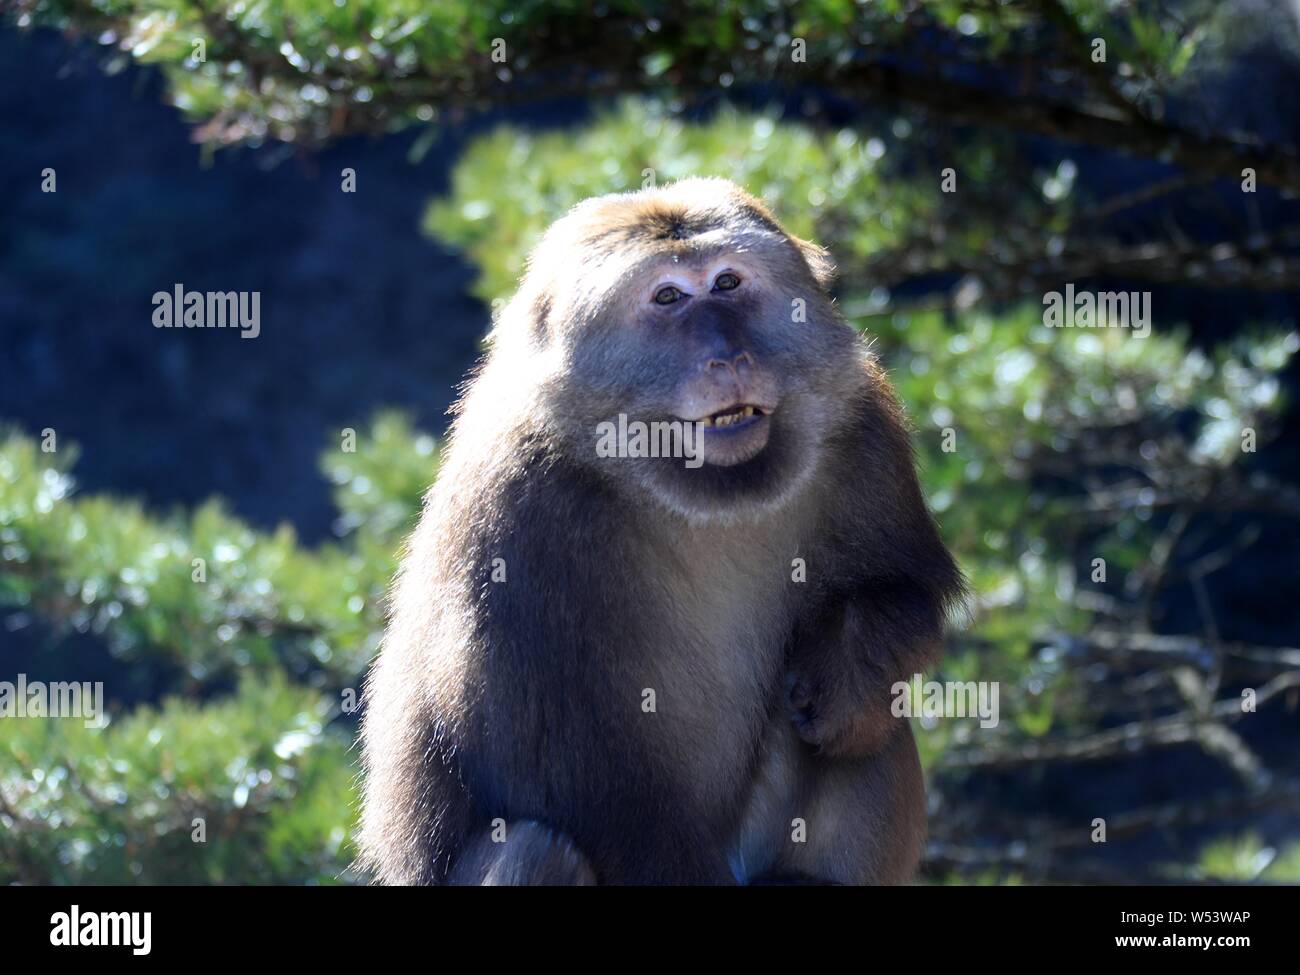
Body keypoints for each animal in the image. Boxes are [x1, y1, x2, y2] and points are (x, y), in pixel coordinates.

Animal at [358, 177, 966, 885]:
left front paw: (850, 670)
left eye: (727, 282)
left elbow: (904, 589)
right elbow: (576, 783)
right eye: (669, 296)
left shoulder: (861, 421)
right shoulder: (515, 519)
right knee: (535, 844)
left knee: (875, 730)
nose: (729, 357)